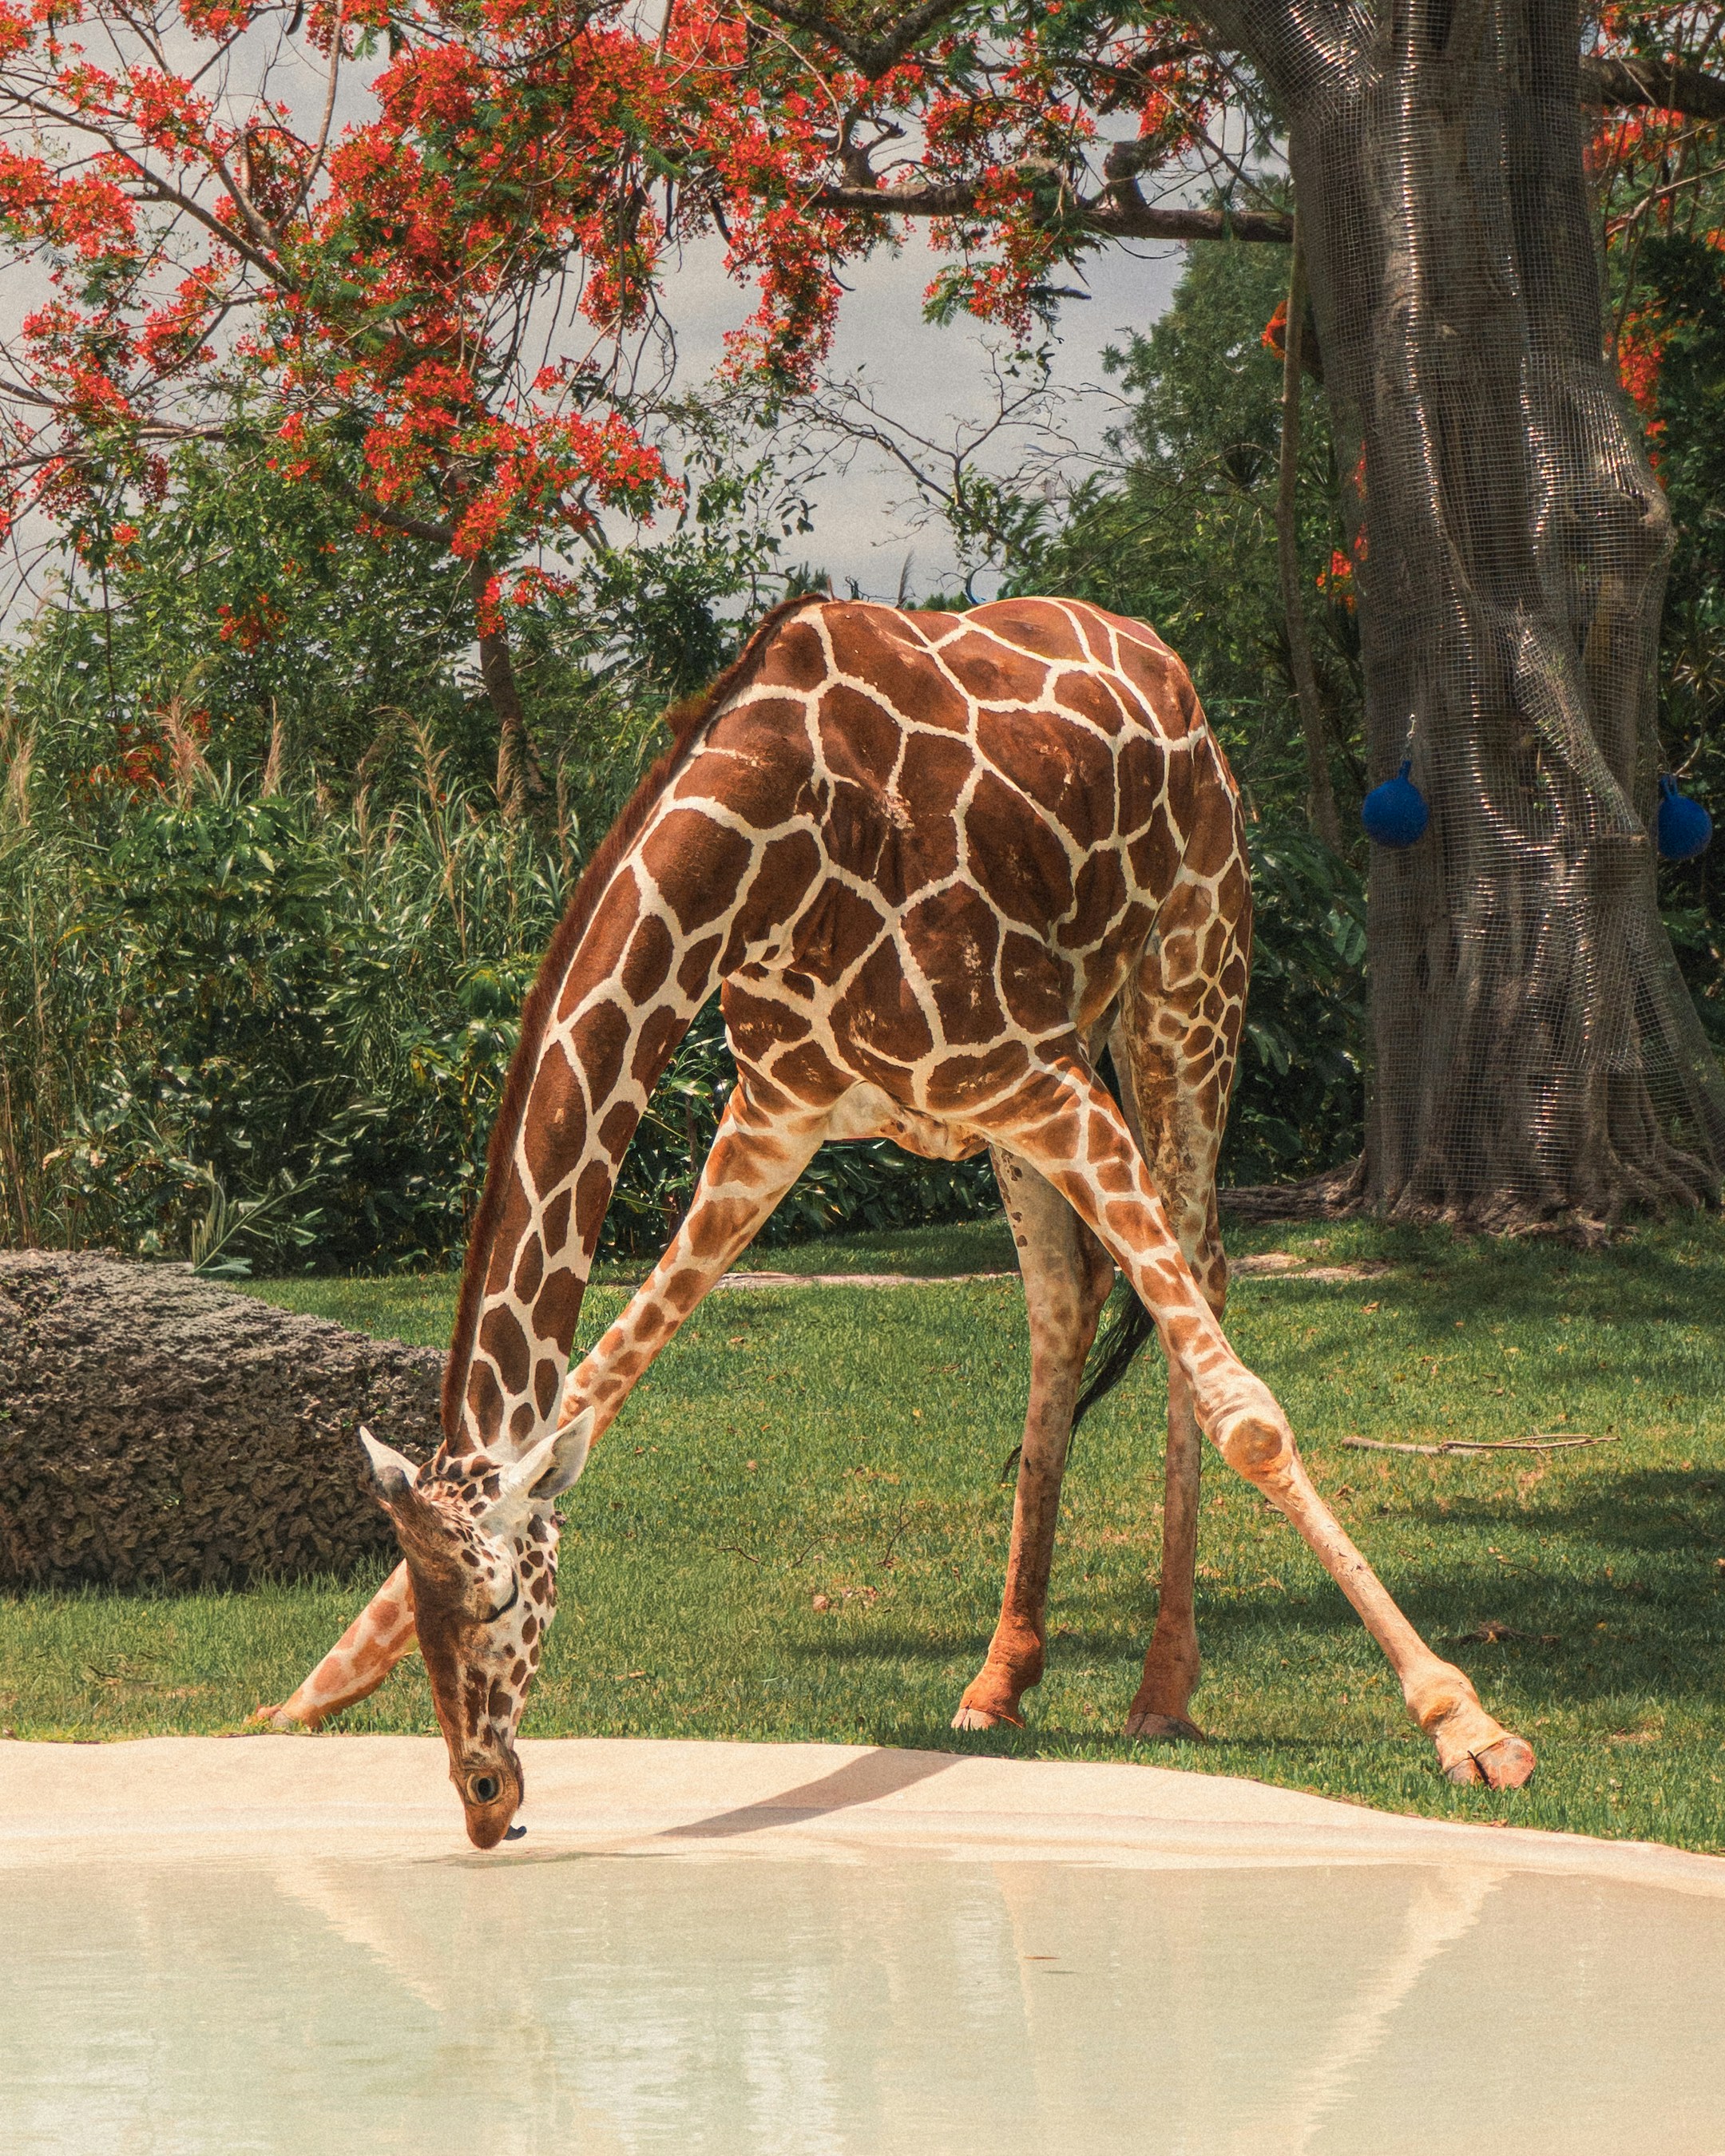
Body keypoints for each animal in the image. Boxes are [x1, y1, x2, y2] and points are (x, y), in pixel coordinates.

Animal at [262, 595, 1534, 1847]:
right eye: (433, 1604)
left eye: (506, 1594)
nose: (484, 1798)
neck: (765, 853)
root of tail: (1156, 655)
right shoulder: (774, 1124)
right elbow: (596, 1387)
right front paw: (308, 1694)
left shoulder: (1039, 1078)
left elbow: (1251, 1418)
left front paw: (1466, 1726)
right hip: (1029, 1095)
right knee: (1066, 1302)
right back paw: (1000, 1677)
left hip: (1186, 986)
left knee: (1198, 1279)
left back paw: (1164, 1690)